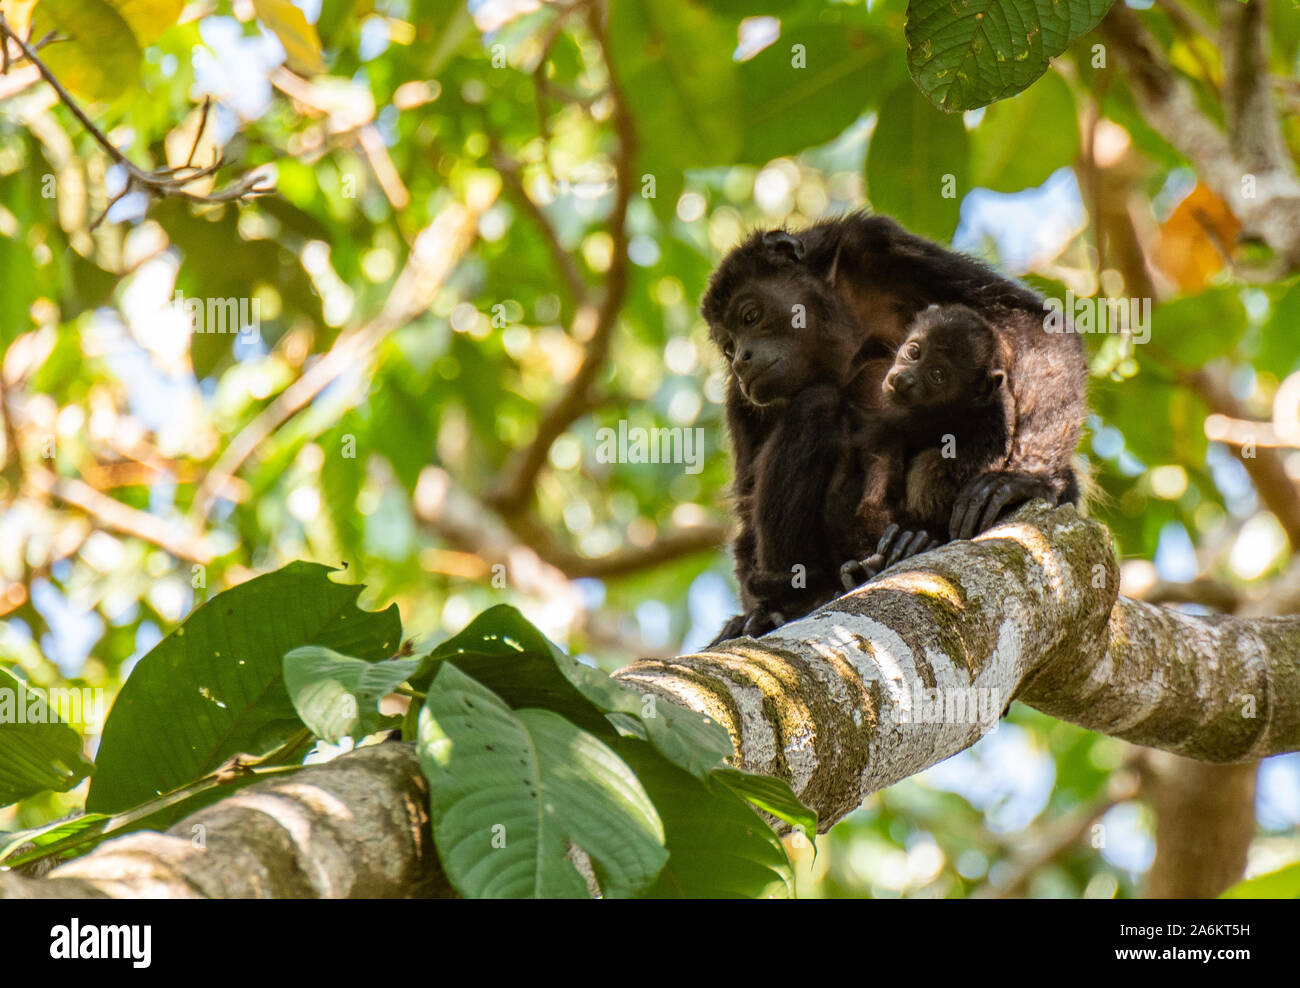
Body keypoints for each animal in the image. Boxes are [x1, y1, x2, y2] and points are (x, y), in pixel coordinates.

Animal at [702, 214, 1086, 644]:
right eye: (728, 346)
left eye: (750, 316)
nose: (742, 359)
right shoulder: (742, 398)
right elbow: (747, 500)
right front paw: (756, 615)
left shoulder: (876, 246)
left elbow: (1033, 324)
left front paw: (1024, 478)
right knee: (816, 402)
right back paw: (810, 593)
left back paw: (914, 539)